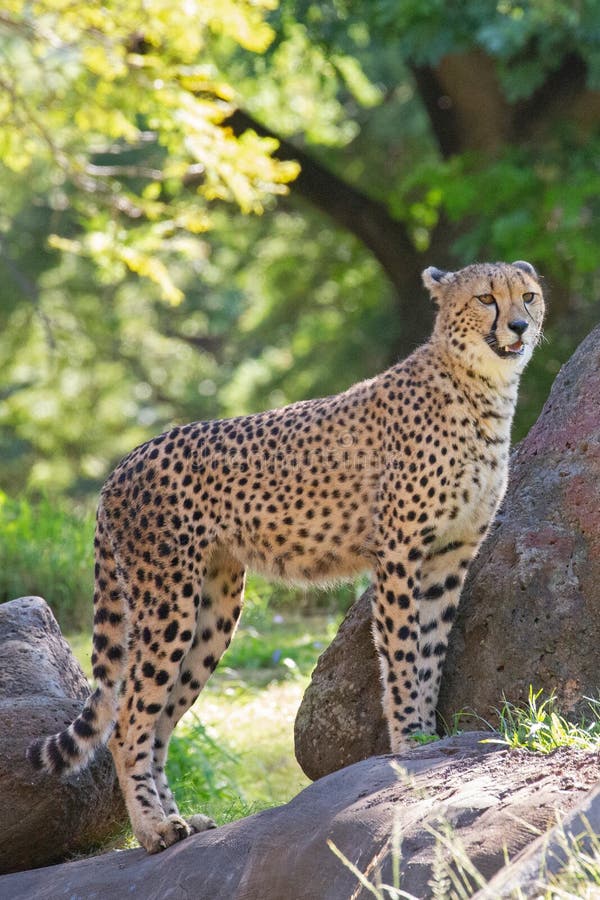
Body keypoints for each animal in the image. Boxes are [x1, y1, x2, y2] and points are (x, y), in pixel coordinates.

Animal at [28, 260, 545, 854]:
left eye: (529, 296)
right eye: (486, 299)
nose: (521, 326)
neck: (480, 387)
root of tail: (126, 459)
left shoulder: (447, 558)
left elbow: (431, 651)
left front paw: (430, 739)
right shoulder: (398, 553)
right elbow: (403, 654)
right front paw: (410, 745)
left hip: (215, 610)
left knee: (160, 719)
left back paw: (182, 822)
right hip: (167, 599)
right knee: (131, 714)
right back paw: (153, 830)